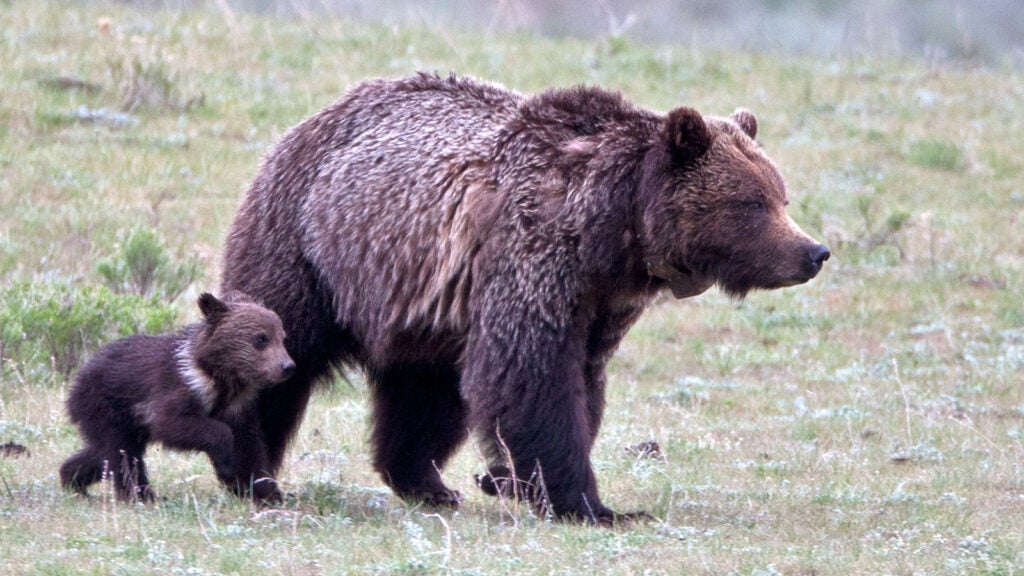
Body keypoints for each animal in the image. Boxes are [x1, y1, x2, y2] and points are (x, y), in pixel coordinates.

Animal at [59, 292, 295, 502]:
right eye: (260, 338)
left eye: (282, 337)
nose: (287, 366)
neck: (221, 379)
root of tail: (77, 379)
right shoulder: (178, 387)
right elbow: (172, 423)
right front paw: (227, 466)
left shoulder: (238, 407)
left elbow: (251, 447)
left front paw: (267, 492)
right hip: (105, 405)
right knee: (122, 452)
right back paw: (141, 495)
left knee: (102, 453)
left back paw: (72, 479)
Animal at [219, 73, 829, 524]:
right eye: (752, 202)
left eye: (781, 195)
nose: (813, 252)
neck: (614, 227)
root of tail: (311, 120)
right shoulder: (534, 257)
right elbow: (532, 376)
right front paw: (589, 504)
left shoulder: (599, 301)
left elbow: (579, 381)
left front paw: (502, 478)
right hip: (306, 245)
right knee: (275, 347)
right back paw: (252, 473)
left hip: (421, 302)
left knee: (426, 389)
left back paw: (426, 481)